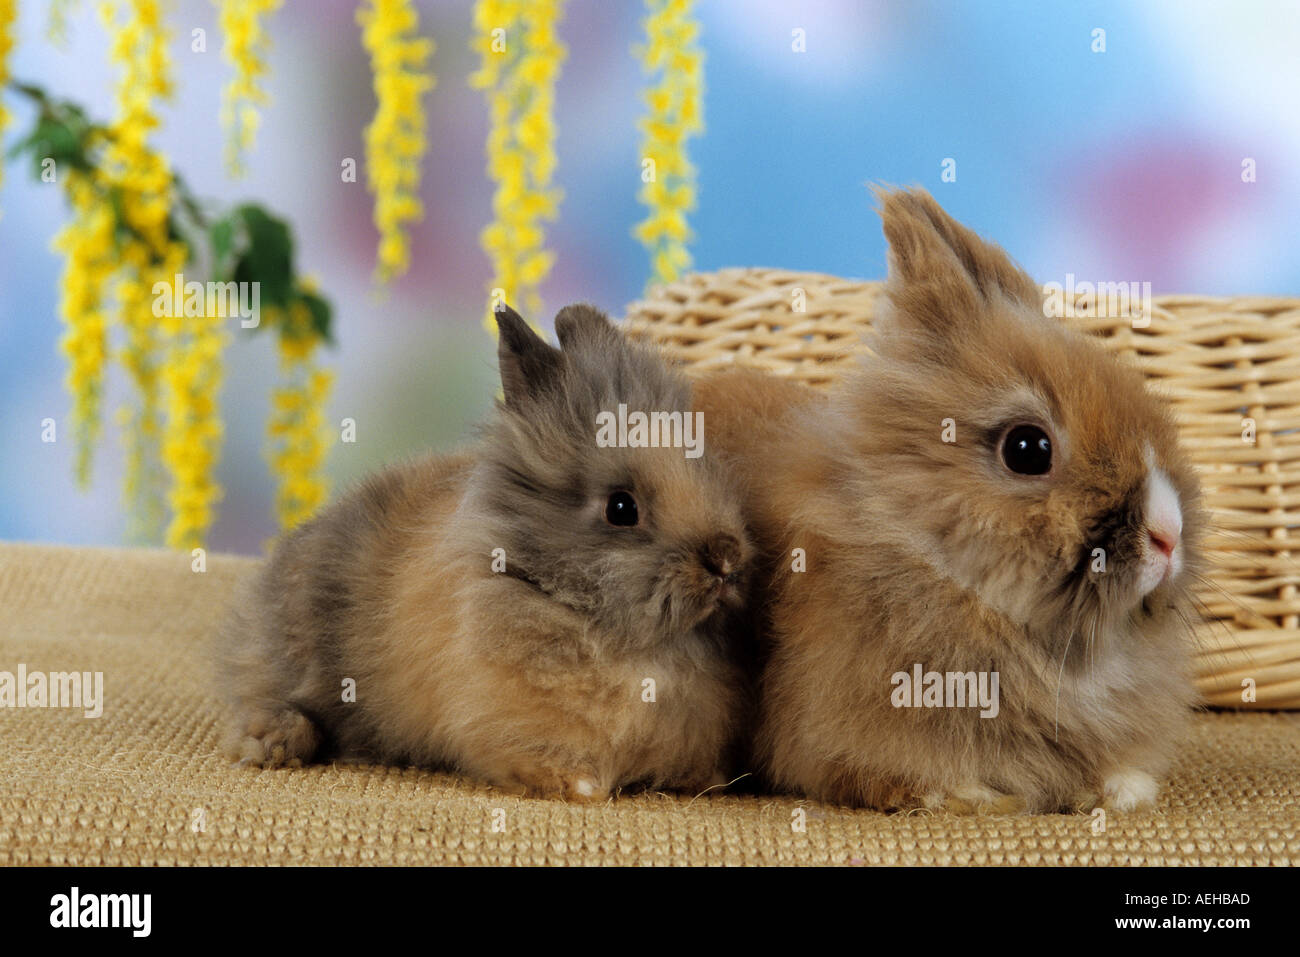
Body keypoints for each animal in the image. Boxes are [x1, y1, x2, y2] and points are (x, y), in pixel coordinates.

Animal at [215, 302, 753, 801]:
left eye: (703, 467)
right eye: (622, 508)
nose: (725, 559)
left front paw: (705, 781)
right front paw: (581, 787)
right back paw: (271, 744)